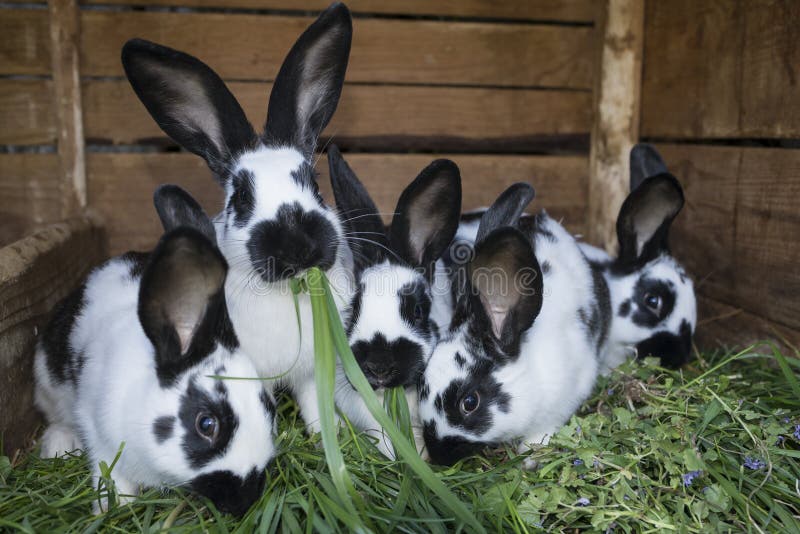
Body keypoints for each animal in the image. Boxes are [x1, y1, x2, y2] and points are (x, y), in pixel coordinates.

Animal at [34, 185, 277, 516]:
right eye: (206, 425)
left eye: (269, 407)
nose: (244, 500)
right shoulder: (99, 435)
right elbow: (110, 474)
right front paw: (115, 509)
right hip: (48, 385)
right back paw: (59, 446)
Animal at [120, 3, 356, 432]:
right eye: (241, 197)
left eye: (314, 184)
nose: (299, 246)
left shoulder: (311, 373)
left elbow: (317, 408)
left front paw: (327, 437)